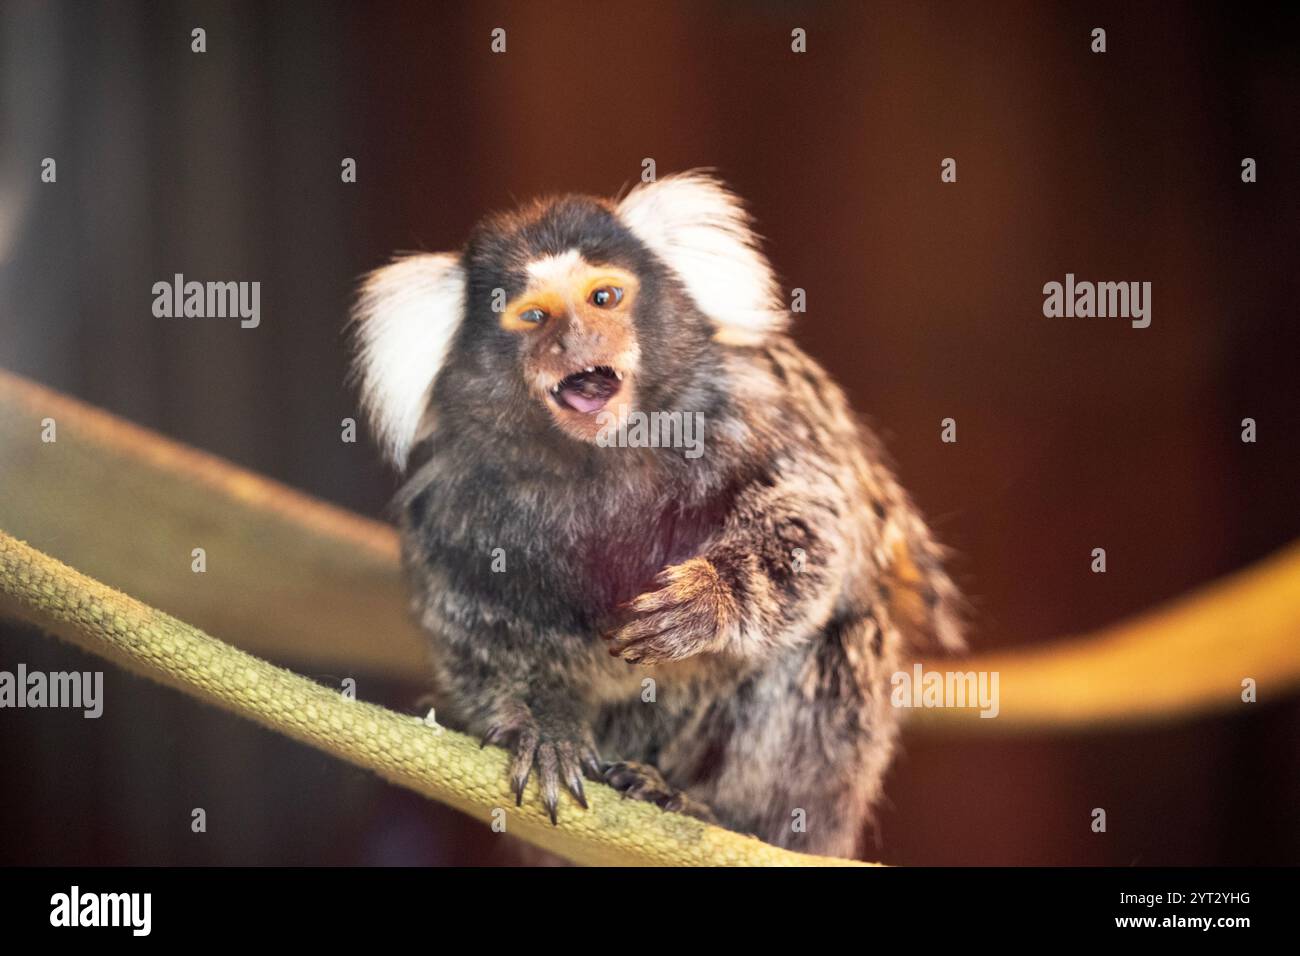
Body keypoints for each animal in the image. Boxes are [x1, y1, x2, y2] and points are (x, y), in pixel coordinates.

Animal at [349, 171, 964, 859]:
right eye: (533, 315)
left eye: (604, 297)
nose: (574, 340)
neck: (602, 458)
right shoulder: (455, 497)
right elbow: (477, 625)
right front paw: (543, 726)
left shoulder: (756, 406)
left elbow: (811, 531)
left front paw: (707, 601)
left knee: (832, 644)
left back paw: (712, 809)